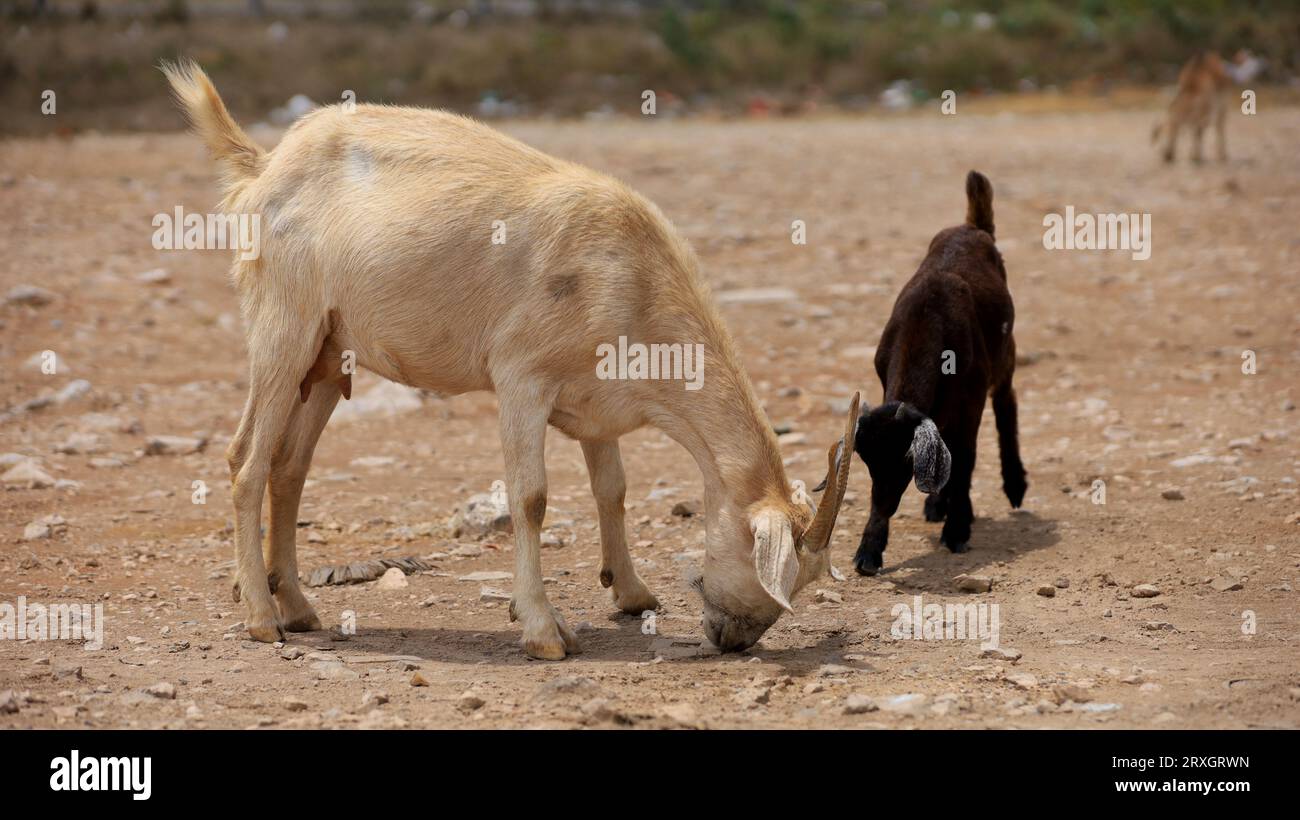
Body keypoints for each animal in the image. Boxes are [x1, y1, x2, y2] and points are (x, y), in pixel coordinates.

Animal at [162, 61, 859, 659]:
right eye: (773, 572)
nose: (733, 638)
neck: (632, 279)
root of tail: (262, 167)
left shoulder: (598, 401)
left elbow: (613, 488)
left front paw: (631, 593)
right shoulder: (523, 377)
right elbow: (531, 498)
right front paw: (544, 630)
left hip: (331, 356)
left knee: (290, 467)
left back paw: (301, 608)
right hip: (284, 327)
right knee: (246, 460)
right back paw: (261, 619)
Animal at [848, 171, 1025, 576]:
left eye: (905, 459)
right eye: (866, 462)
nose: (885, 502)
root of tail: (973, 226)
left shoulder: (971, 399)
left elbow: (965, 457)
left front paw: (957, 529)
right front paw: (869, 549)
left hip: (1004, 358)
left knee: (1006, 404)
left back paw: (1014, 484)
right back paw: (937, 505)